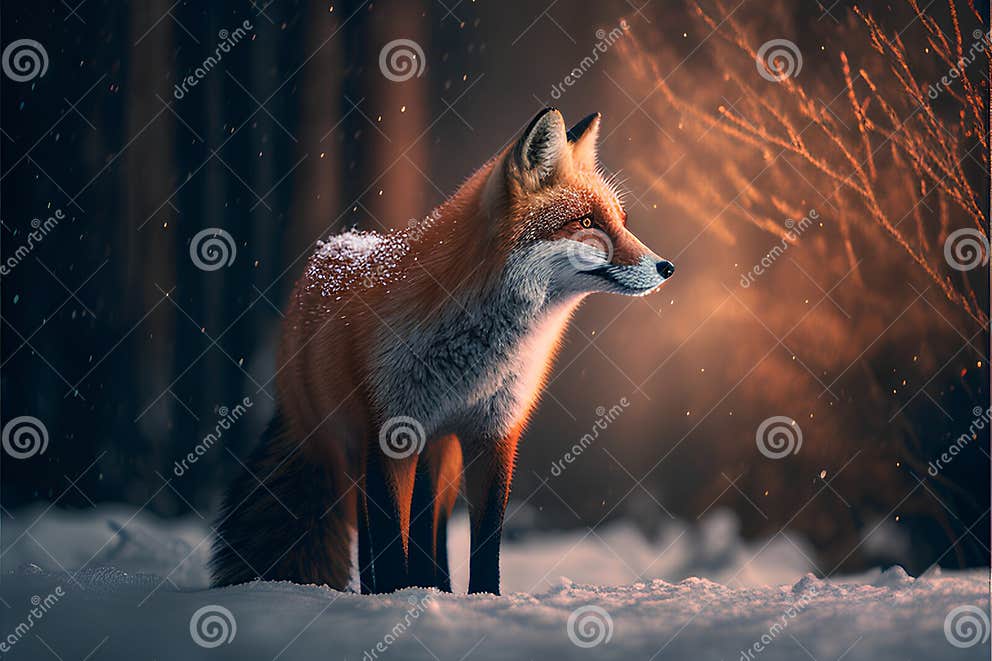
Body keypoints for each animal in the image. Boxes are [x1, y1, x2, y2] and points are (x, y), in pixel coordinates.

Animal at [210, 108, 675, 595]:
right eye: (586, 223)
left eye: (622, 219)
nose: (666, 267)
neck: (475, 361)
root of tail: (331, 246)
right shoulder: (388, 435)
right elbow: (388, 543)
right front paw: (393, 596)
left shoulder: (495, 433)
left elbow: (484, 543)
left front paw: (481, 599)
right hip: (357, 449)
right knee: (374, 531)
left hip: (441, 456)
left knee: (429, 529)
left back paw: (435, 587)